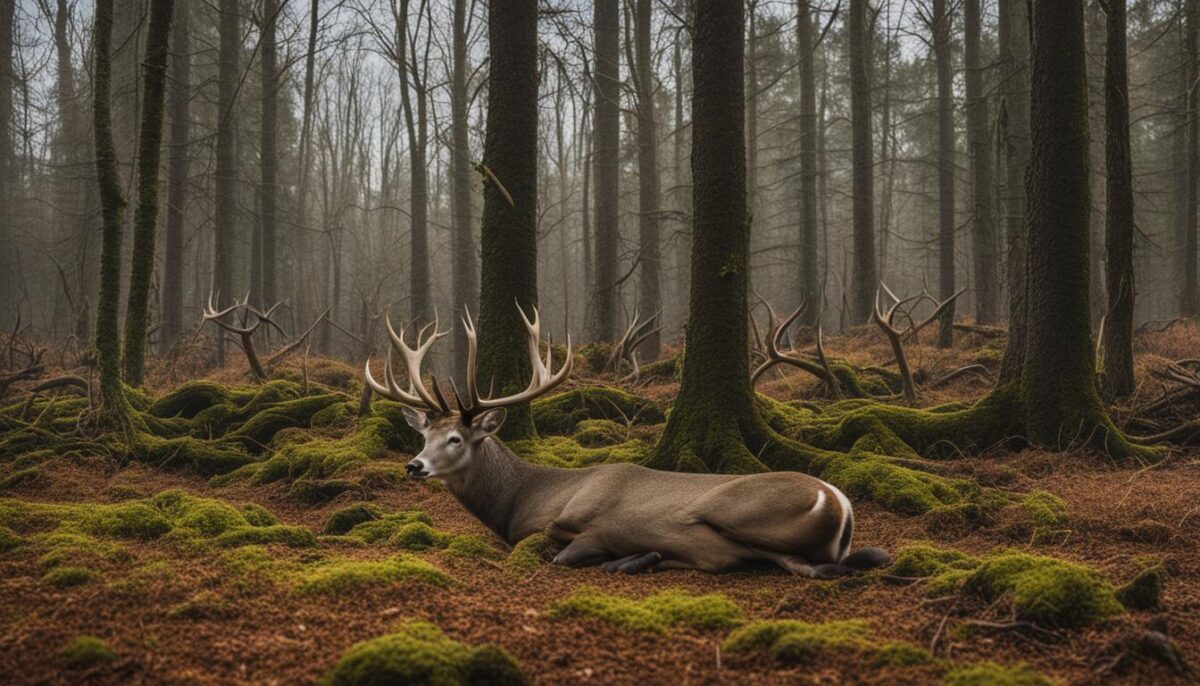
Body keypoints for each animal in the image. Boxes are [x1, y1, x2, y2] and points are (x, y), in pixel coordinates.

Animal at [365, 304, 890, 577]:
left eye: (455, 438)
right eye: (424, 433)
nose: (414, 465)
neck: (523, 498)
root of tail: (839, 501)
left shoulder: (574, 517)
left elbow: (568, 549)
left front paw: (631, 554)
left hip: (737, 509)